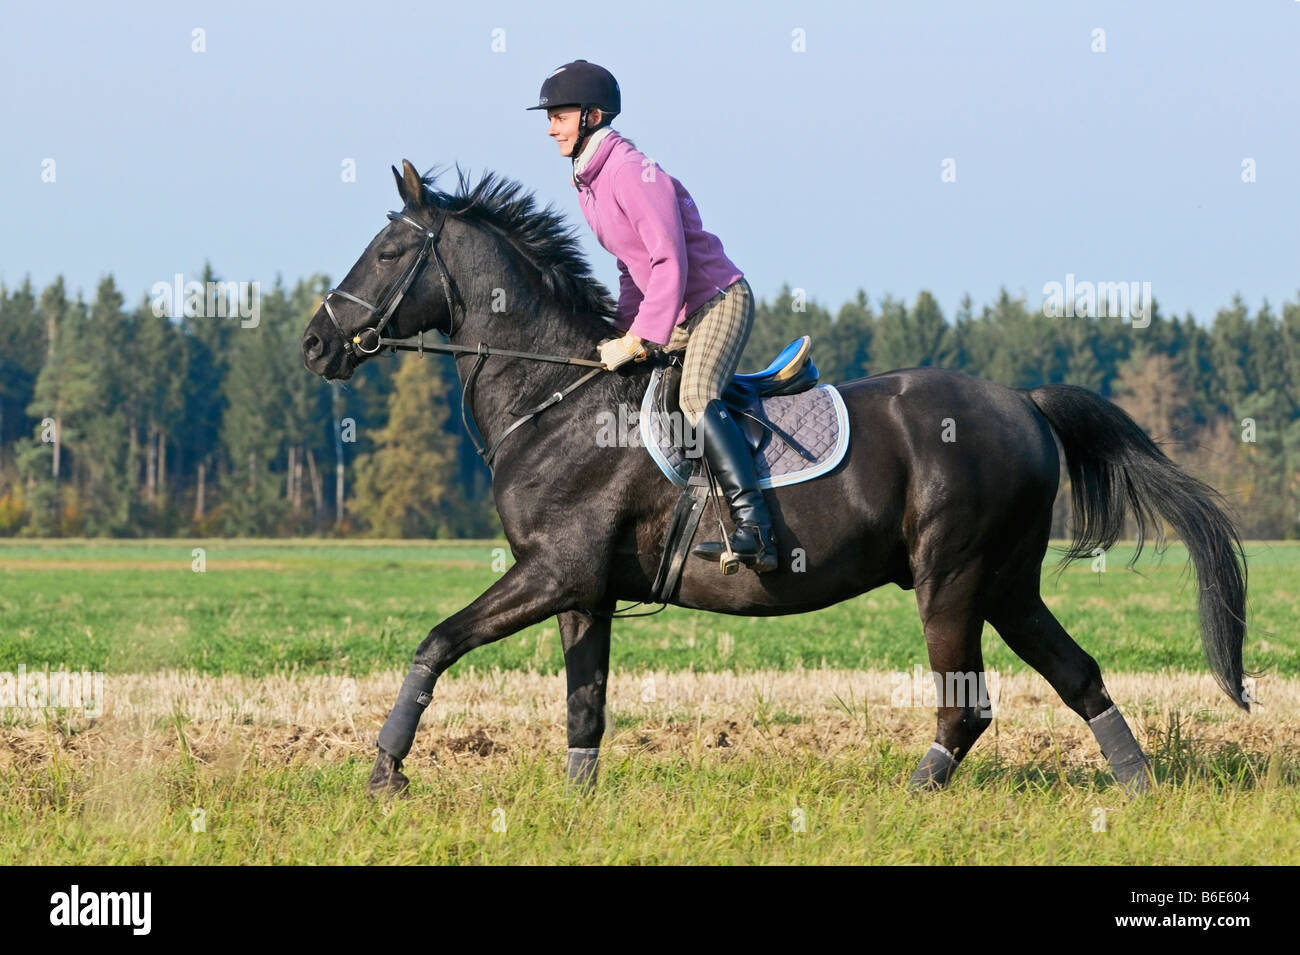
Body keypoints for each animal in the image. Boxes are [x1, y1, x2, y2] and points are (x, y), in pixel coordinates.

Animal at [302, 160, 1249, 797]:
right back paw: (1138, 788)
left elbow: (436, 641)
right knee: (1077, 674)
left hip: (952, 578)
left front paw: (385, 770)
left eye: (388, 250)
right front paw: (575, 801)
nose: (315, 343)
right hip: (1007, 582)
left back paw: (912, 796)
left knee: (967, 705)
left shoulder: (552, 570)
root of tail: (1024, 401)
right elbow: (584, 704)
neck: (554, 397)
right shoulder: (582, 588)